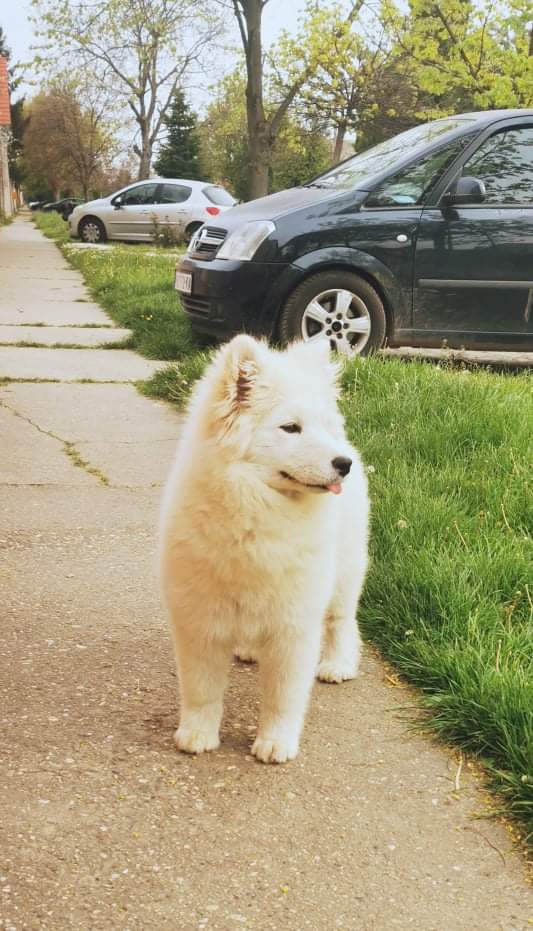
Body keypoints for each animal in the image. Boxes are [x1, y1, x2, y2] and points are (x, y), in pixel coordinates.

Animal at [161, 334, 370, 764]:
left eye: (322, 426)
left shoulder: (294, 627)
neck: (256, 511)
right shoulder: (200, 620)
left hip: (345, 573)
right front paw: (197, 733)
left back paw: (338, 663)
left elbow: (283, 697)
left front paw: (276, 742)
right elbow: (201, 690)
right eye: (291, 428)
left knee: (342, 622)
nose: (343, 464)